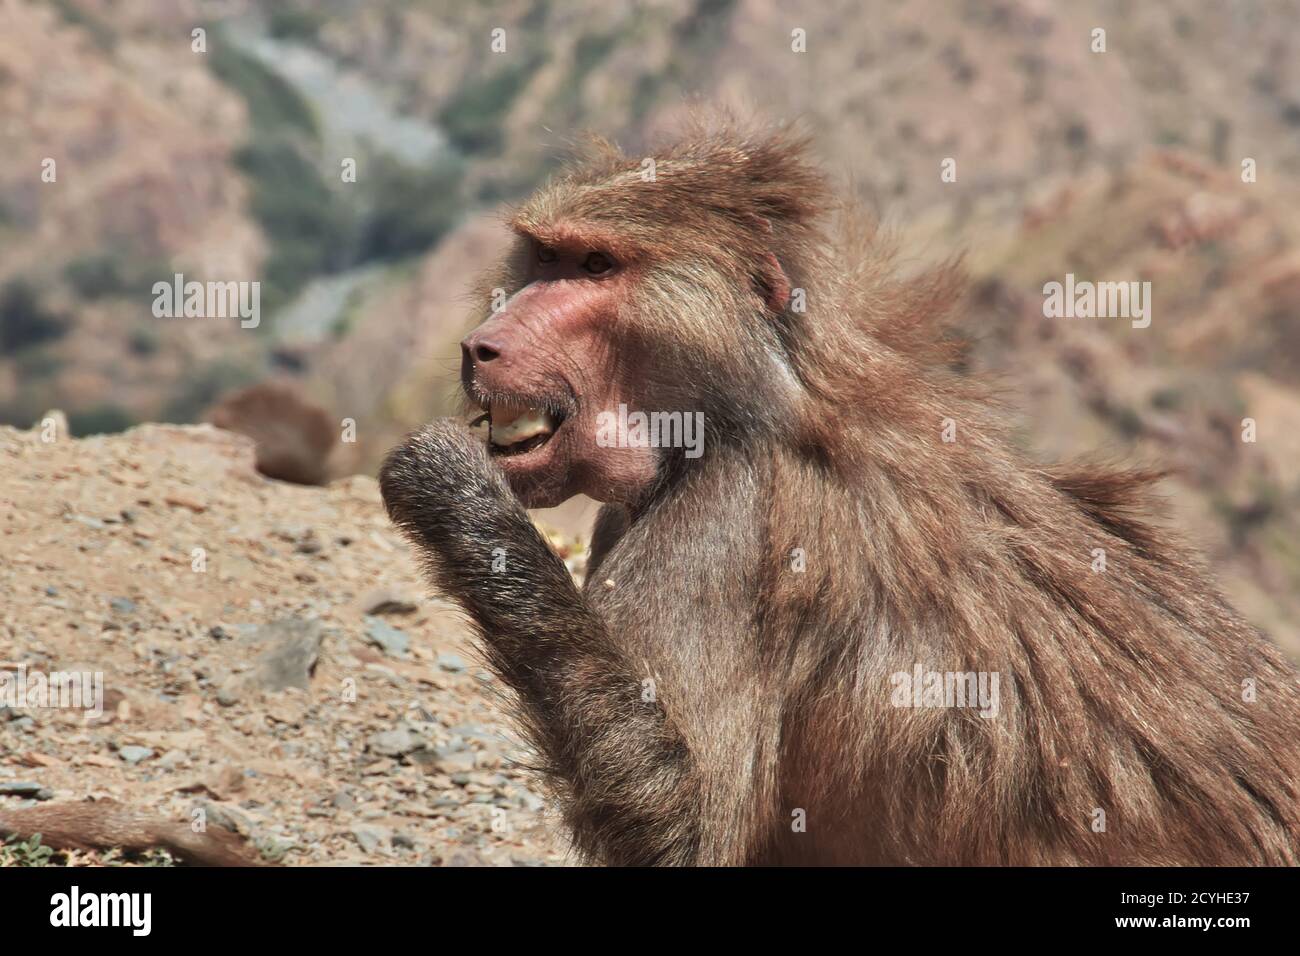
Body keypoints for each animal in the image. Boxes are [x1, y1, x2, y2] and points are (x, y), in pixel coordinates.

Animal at [379, 121, 1300, 866]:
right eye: (544, 257)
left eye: (595, 265)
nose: (481, 345)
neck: (739, 407)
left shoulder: (726, 523)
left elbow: (684, 822)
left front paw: (452, 489)